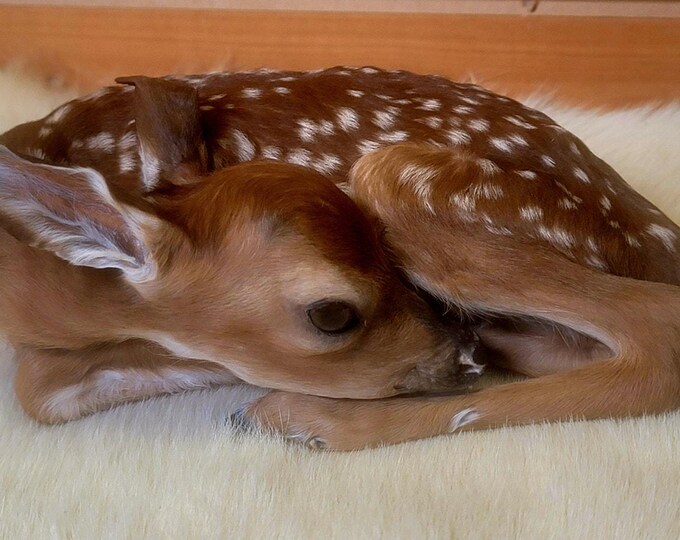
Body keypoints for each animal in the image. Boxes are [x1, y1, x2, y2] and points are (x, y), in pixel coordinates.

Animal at [0, 66, 679, 450]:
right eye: (331, 316)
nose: (464, 355)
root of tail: (658, 230)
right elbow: (39, 391)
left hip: (396, 178)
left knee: (656, 333)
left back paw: (300, 420)